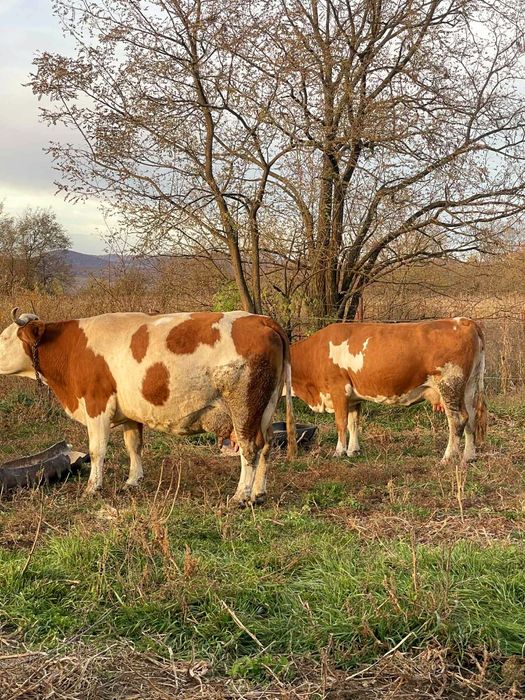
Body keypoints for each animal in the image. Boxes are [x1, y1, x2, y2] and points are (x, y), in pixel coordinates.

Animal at [0, 308, 296, 504]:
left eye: (4, 338)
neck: (74, 348)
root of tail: (262, 320)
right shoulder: (130, 412)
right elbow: (134, 446)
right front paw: (133, 481)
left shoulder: (96, 404)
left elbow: (97, 450)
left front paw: (93, 487)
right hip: (266, 408)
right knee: (267, 445)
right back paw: (258, 493)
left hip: (244, 406)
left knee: (249, 448)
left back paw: (241, 496)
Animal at [290, 318, 486, 463]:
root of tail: (463, 321)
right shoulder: (353, 397)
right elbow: (354, 423)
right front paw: (354, 450)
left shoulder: (339, 390)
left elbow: (341, 423)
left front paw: (339, 452)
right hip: (469, 387)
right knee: (471, 418)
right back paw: (469, 457)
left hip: (450, 384)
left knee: (457, 419)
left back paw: (447, 458)